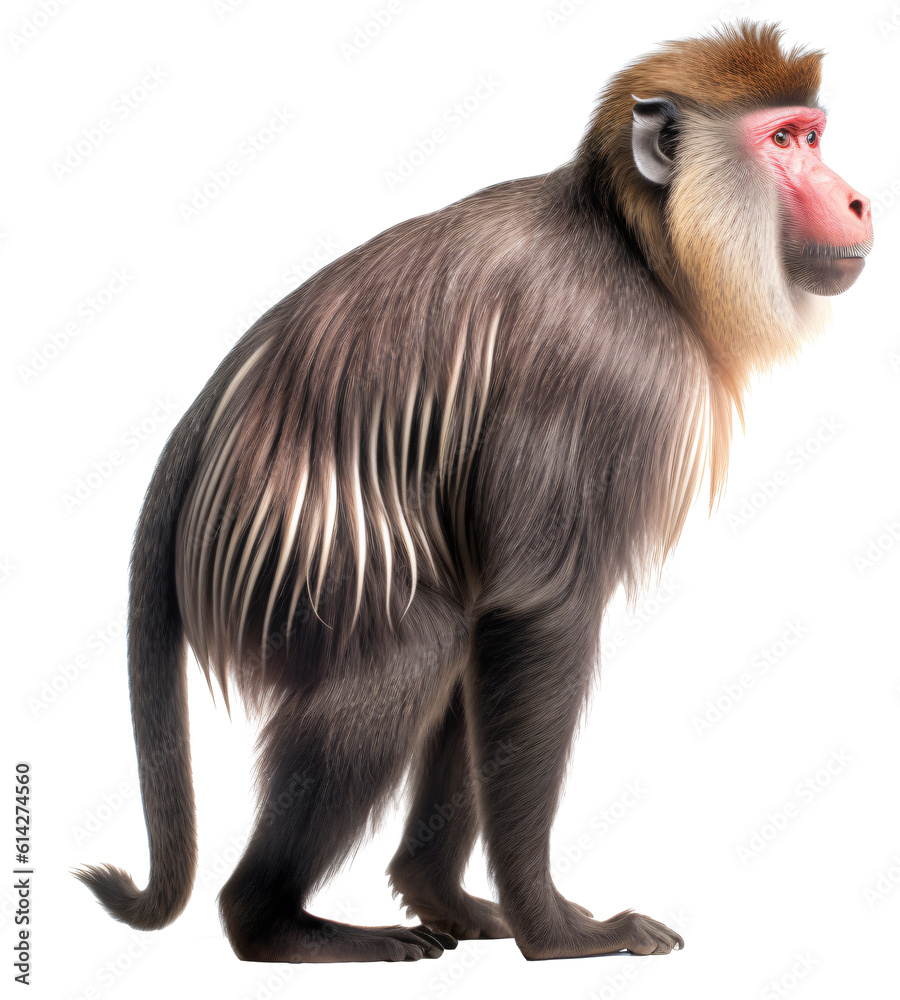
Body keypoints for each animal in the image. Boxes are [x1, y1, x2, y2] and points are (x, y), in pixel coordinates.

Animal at [75, 22, 872, 963]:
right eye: (784, 141)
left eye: (812, 135)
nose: (856, 199)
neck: (637, 244)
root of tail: (201, 428)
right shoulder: (600, 367)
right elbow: (539, 609)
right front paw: (559, 933)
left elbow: (498, 613)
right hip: (285, 558)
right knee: (416, 649)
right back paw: (273, 922)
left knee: (456, 625)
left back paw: (434, 894)